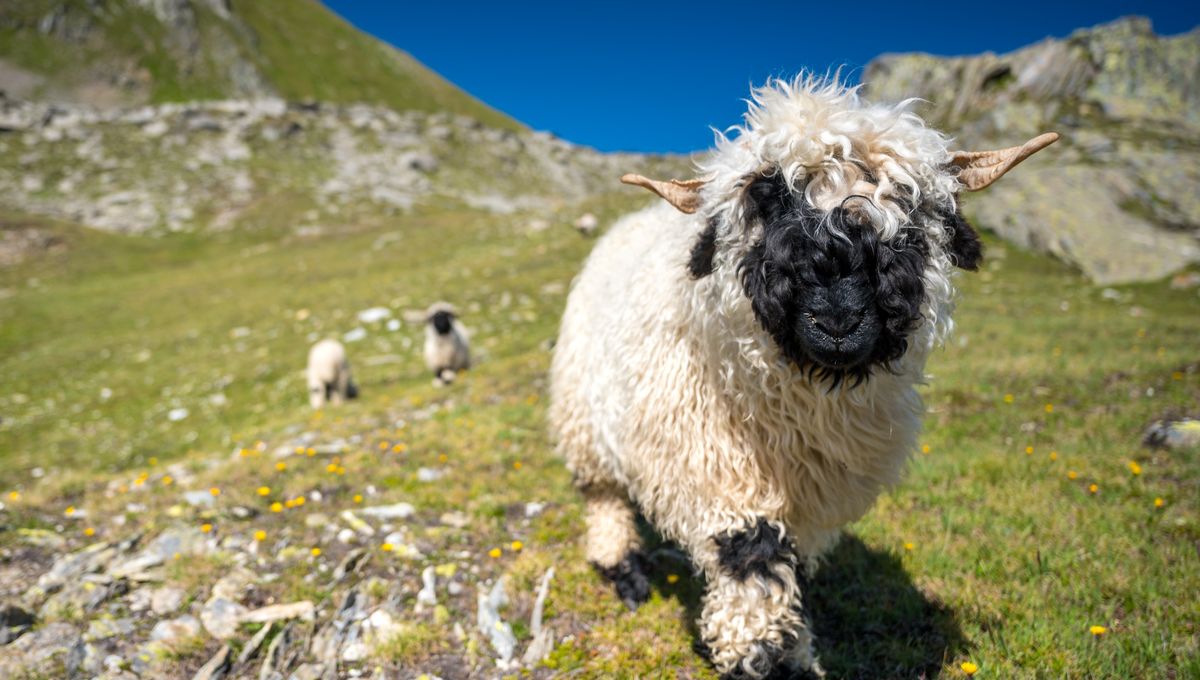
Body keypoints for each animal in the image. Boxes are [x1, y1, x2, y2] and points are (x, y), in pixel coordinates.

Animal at [548, 76, 1057, 679]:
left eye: (911, 216)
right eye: (764, 203)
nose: (837, 319)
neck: (800, 407)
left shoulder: (815, 496)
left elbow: (792, 567)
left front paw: (795, 651)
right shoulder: (715, 465)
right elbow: (753, 560)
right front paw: (759, 657)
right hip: (583, 416)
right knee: (602, 496)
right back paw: (623, 571)